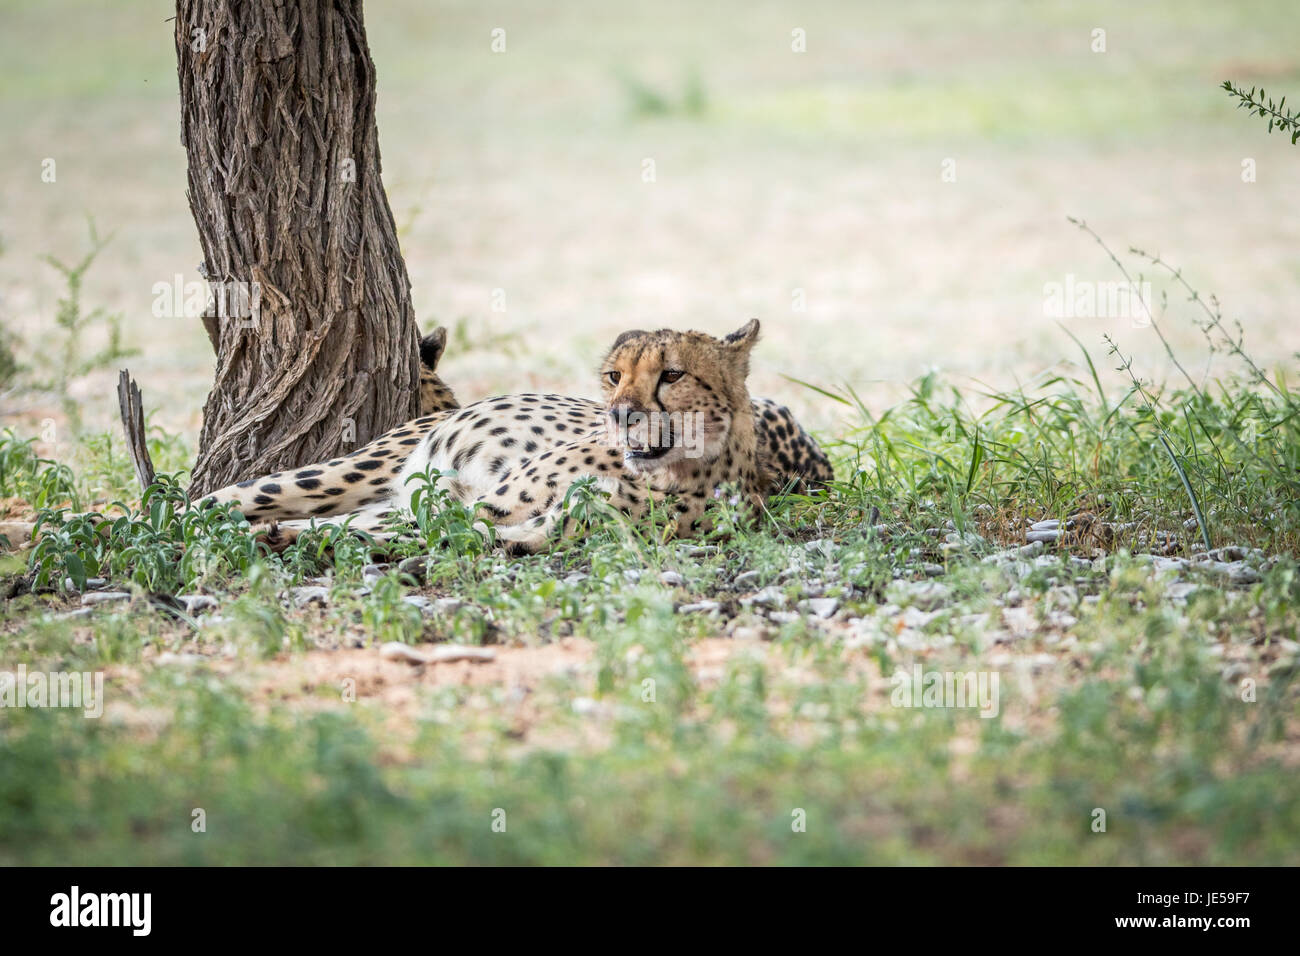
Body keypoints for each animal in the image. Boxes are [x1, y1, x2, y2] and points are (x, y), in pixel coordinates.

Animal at [202, 321, 774, 554]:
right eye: (615, 376)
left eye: (672, 375)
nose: (620, 415)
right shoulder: (486, 504)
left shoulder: (539, 523)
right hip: (345, 473)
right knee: (215, 501)